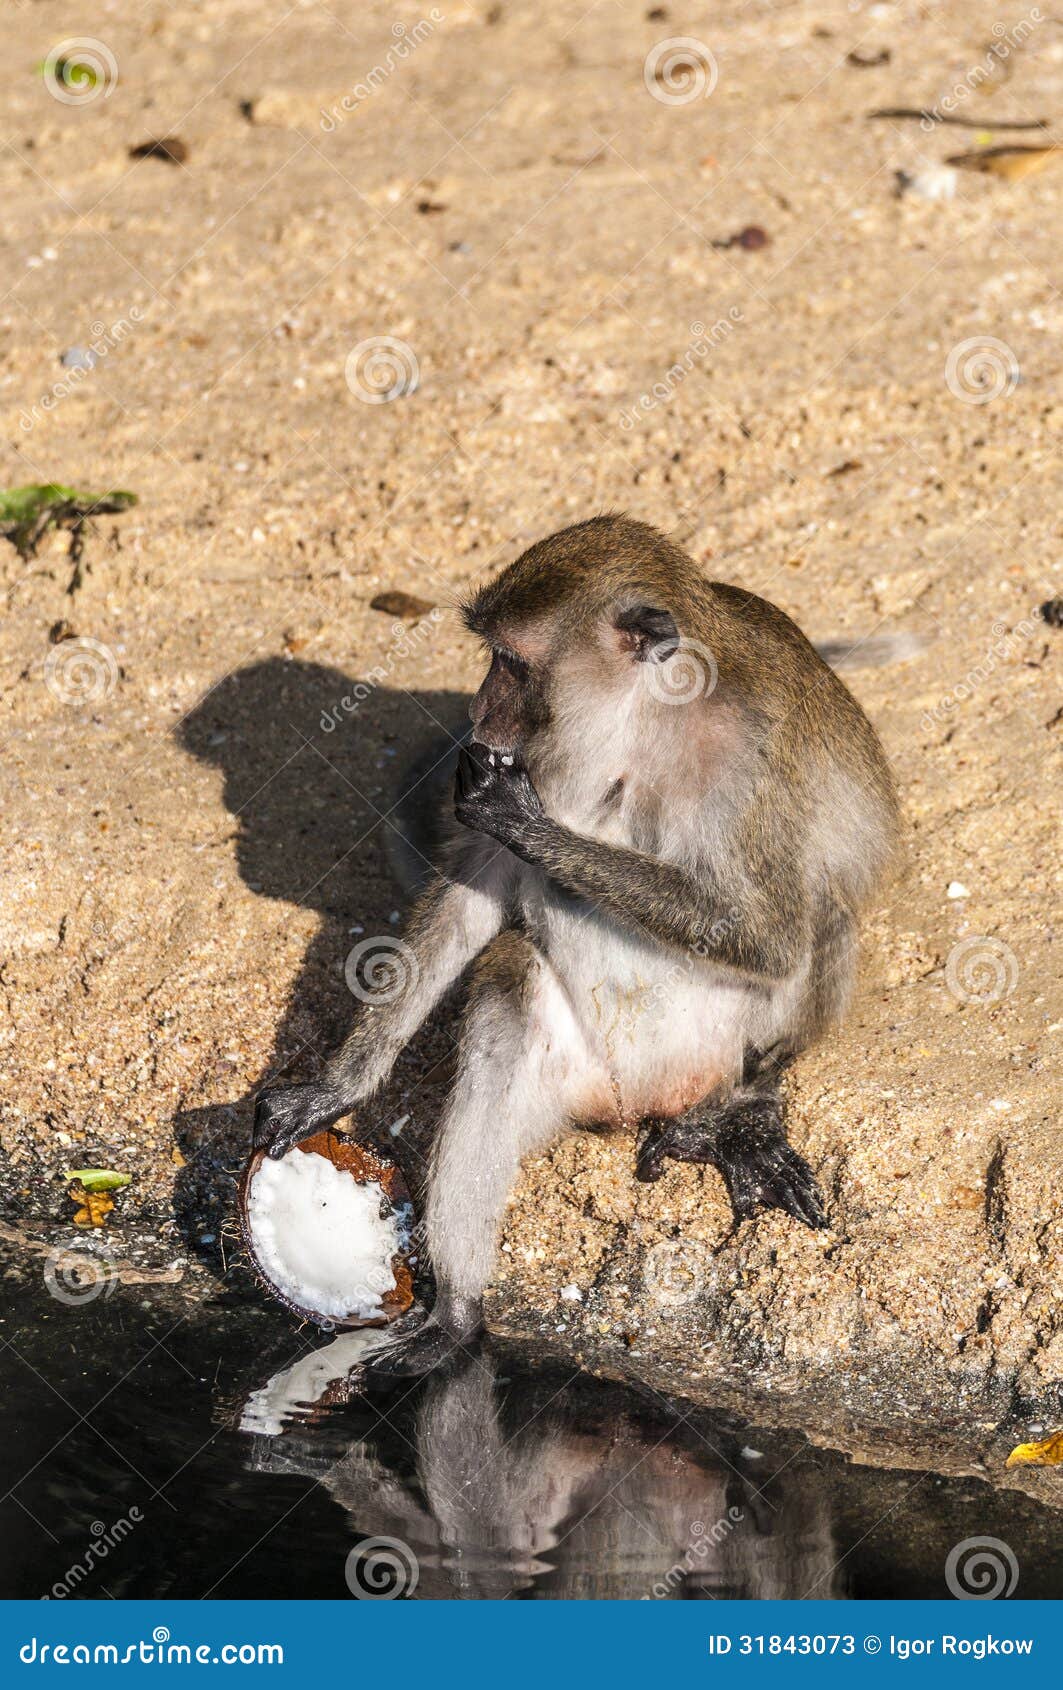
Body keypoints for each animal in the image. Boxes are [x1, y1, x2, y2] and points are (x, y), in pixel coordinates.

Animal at [253, 514, 908, 1376]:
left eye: (510, 661)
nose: (478, 709)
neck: (642, 726)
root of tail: (641, 1100)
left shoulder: (749, 762)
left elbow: (768, 938)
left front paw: (529, 827)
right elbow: (477, 889)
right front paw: (340, 1085)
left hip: (710, 1055)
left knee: (820, 909)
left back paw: (736, 1111)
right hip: (570, 1083)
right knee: (506, 980)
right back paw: (456, 1316)